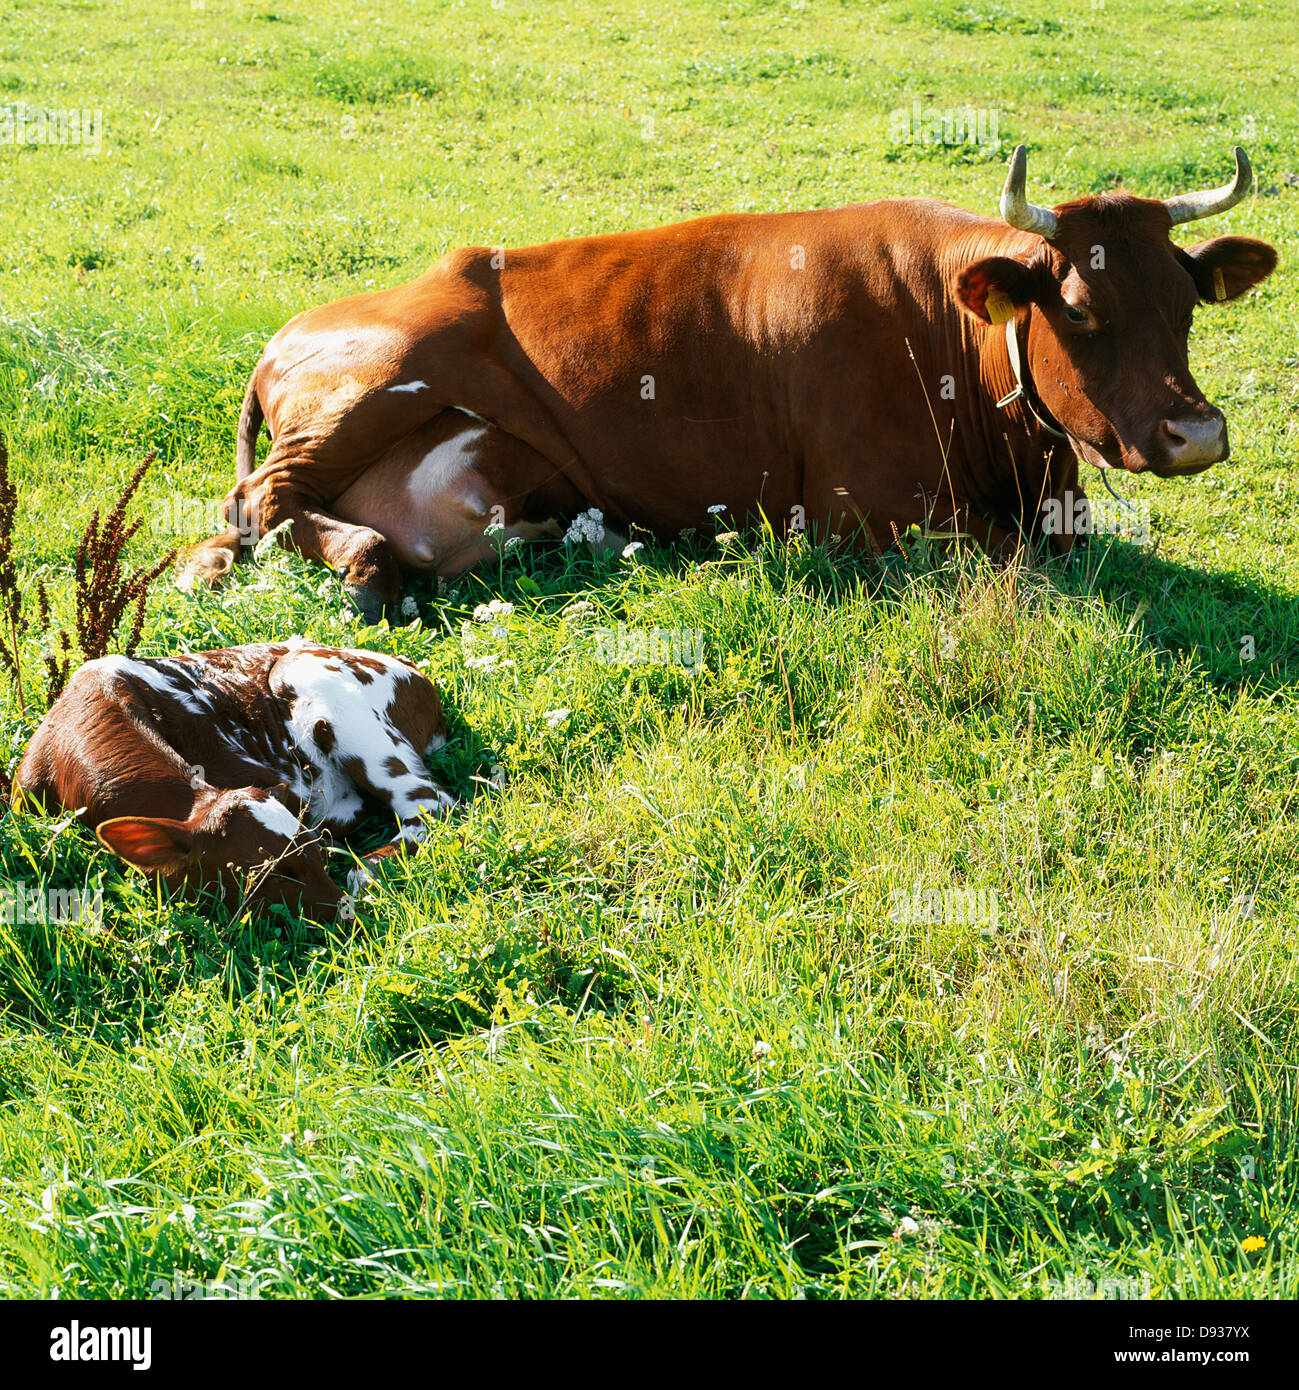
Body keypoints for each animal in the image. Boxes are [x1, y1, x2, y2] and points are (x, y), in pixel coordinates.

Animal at [11, 641, 456, 919]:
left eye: (313, 857)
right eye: (265, 873)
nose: (348, 916)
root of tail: (411, 667)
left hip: (307, 676)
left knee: (429, 802)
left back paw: (364, 872)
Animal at [176, 146, 1277, 622]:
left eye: (1185, 302)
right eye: (1080, 309)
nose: (1196, 433)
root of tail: (294, 331)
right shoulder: (865, 514)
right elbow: (1014, 561)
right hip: (379, 380)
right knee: (259, 500)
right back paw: (355, 573)